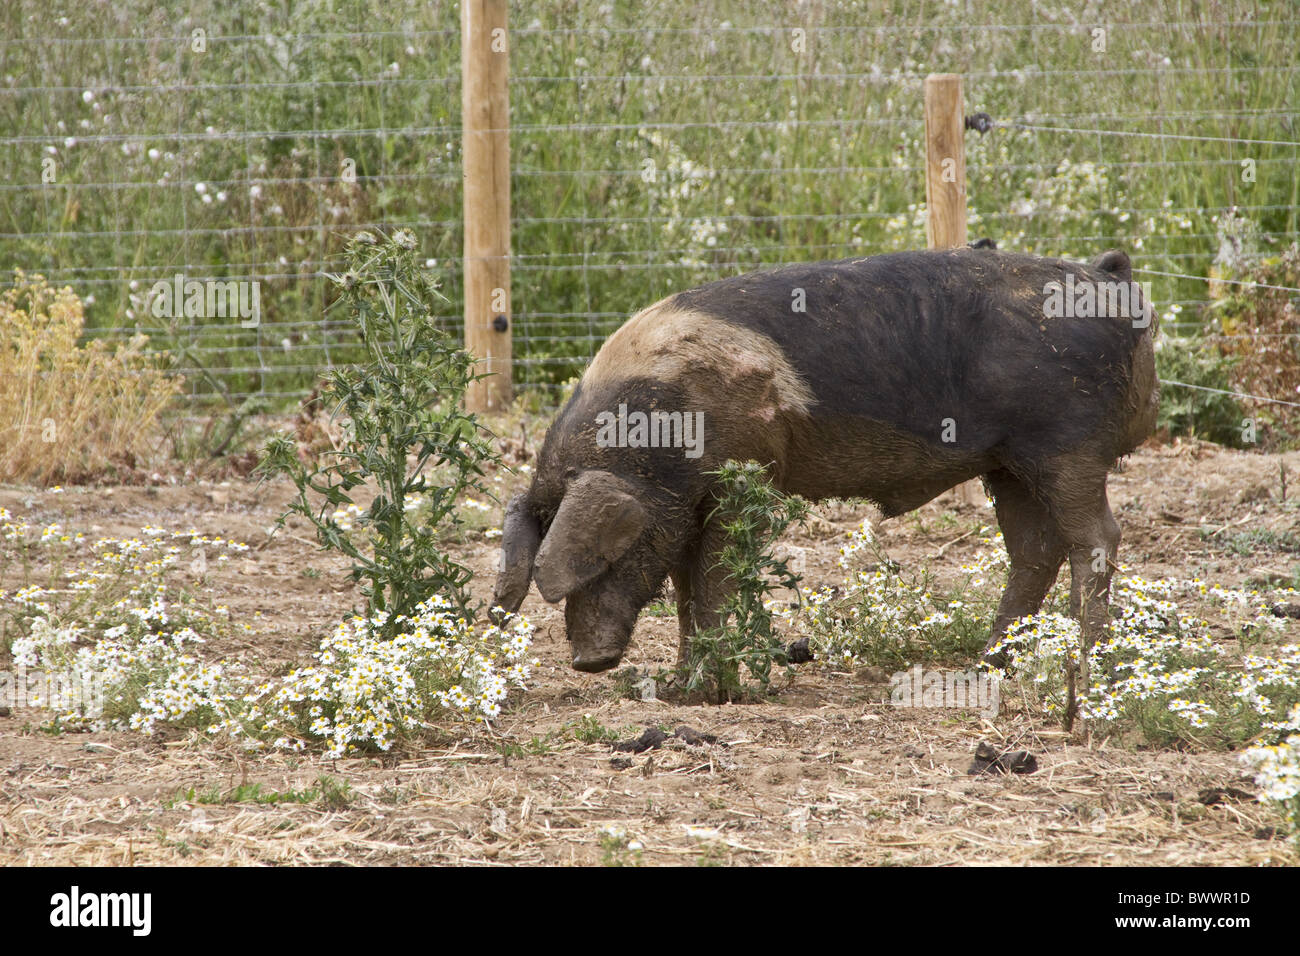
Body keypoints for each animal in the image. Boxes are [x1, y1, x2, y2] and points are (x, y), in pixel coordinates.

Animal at [491, 247, 1159, 682]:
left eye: (605, 557)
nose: (588, 662)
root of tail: (1112, 281)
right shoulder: (679, 511)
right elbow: (684, 584)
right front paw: (683, 686)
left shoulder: (747, 475)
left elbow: (714, 574)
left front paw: (708, 692)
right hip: (1009, 464)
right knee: (1034, 550)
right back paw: (989, 665)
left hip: (1067, 445)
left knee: (1097, 537)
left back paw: (1090, 670)